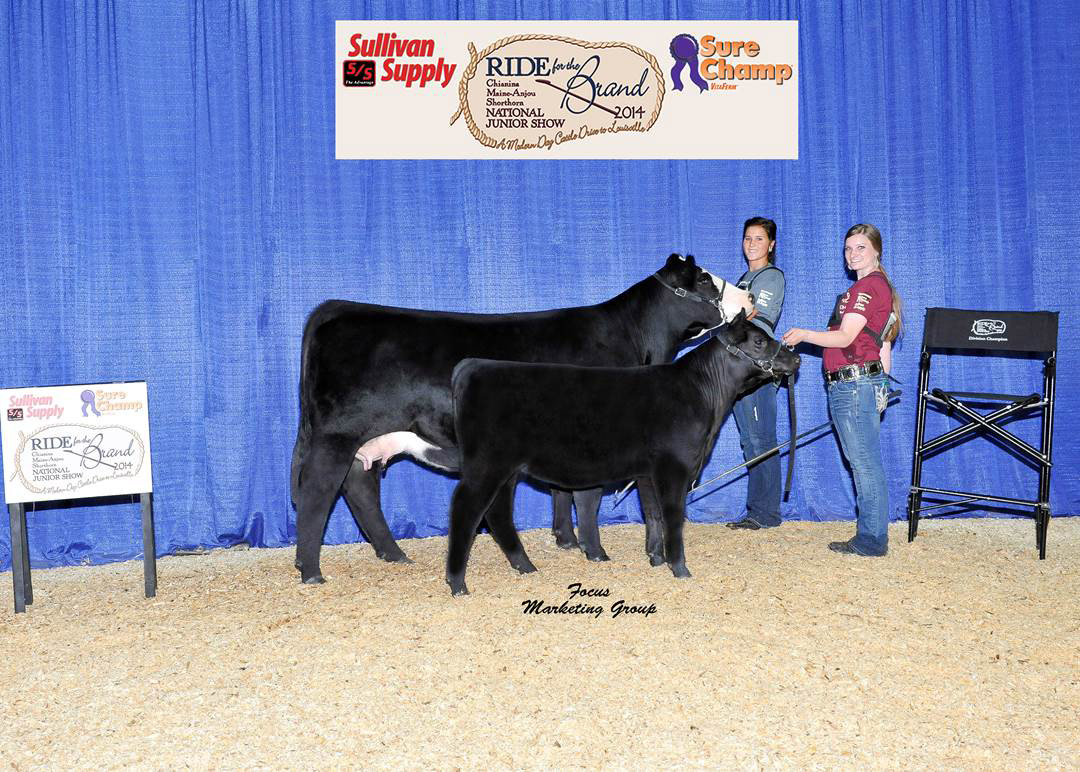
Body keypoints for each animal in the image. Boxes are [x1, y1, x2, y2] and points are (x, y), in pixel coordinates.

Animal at [290, 254, 755, 584]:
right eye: (704, 280)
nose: (749, 299)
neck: (635, 341)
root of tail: (337, 308)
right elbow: (595, 498)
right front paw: (599, 551)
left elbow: (565, 493)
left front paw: (566, 541)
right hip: (336, 435)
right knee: (318, 494)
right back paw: (311, 570)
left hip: (366, 441)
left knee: (359, 489)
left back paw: (393, 554)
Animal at [444, 311, 801, 595]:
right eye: (758, 341)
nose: (795, 359)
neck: (700, 393)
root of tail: (473, 366)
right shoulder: (674, 467)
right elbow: (673, 516)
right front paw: (680, 567)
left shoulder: (647, 471)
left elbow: (653, 514)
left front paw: (656, 558)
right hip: (487, 464)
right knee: (466, 509)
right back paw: (457, 582)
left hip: (506, 468)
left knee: (498, 512)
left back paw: (524, 566)